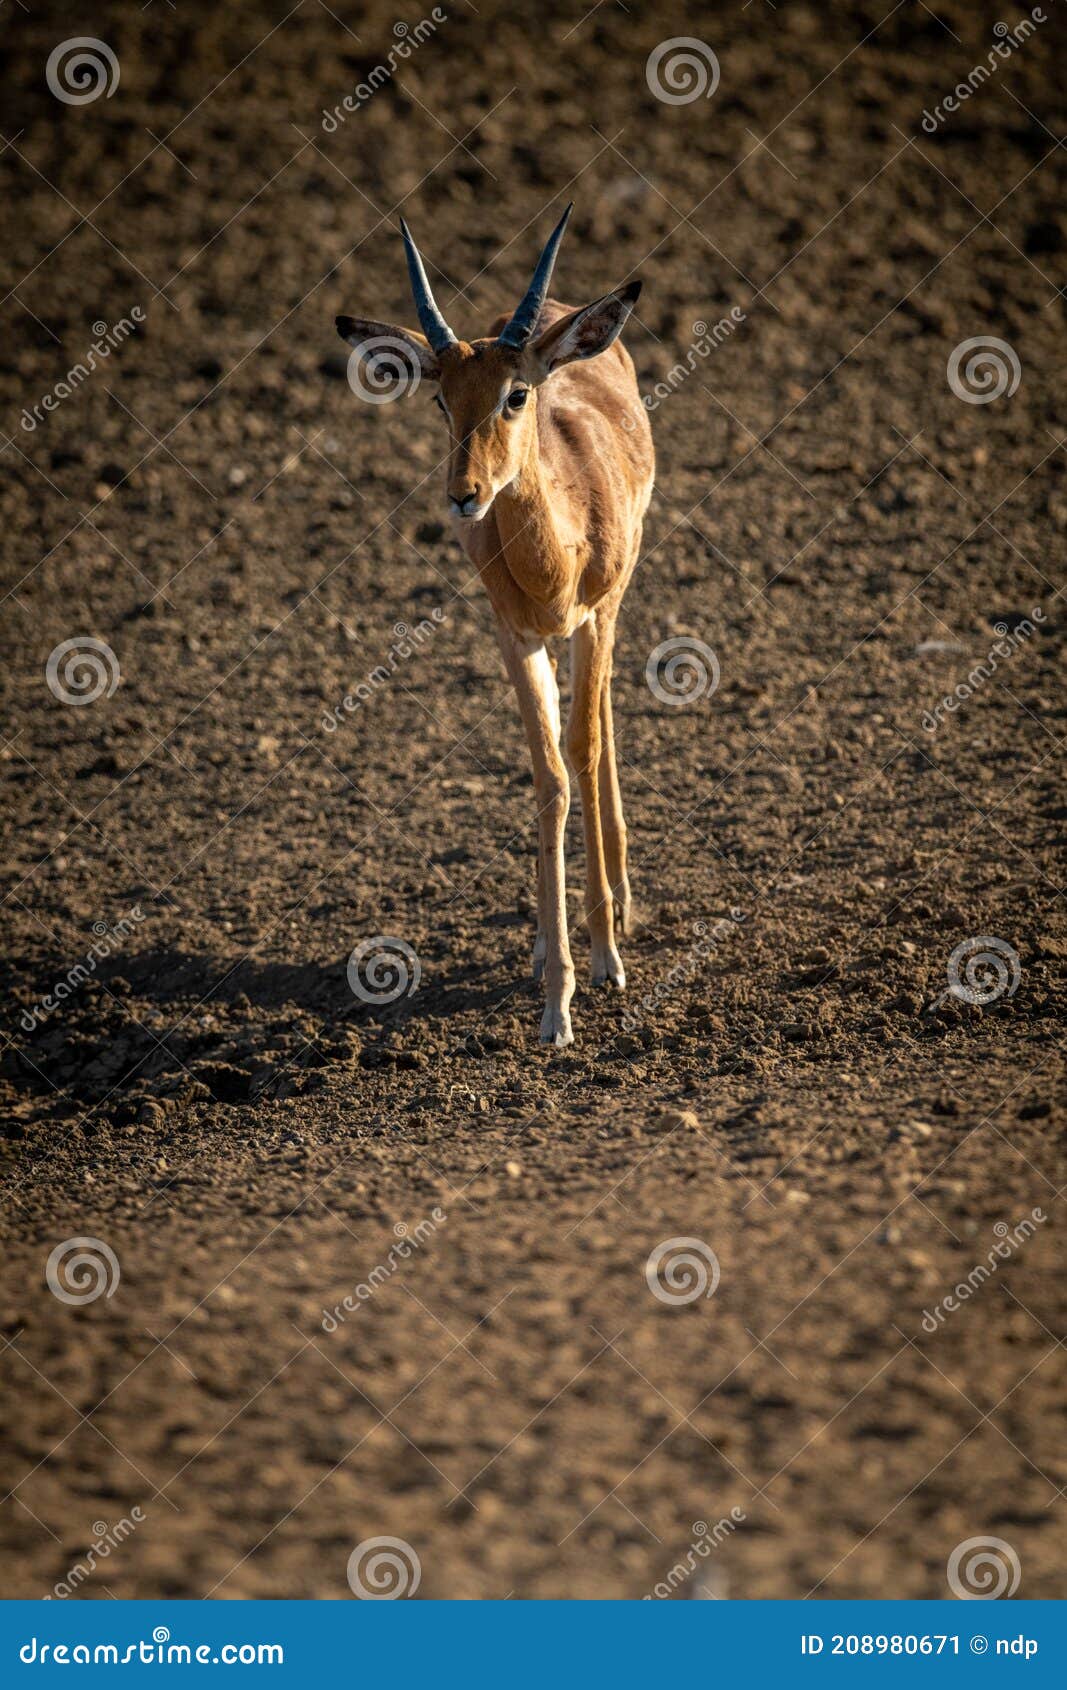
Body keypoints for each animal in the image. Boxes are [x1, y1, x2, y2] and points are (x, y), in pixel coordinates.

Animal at [336, 205, 654, 1045]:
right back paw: (555, 939)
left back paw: (620, 907)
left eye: (515, 395)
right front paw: (554, 999)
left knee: (600, 728)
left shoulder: (592, 617)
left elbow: (581, 754)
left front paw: (604, 959)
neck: (555, 563)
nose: (463, 494)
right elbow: (548, 779)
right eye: (440, 398)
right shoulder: (514, 636)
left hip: (610, 611)